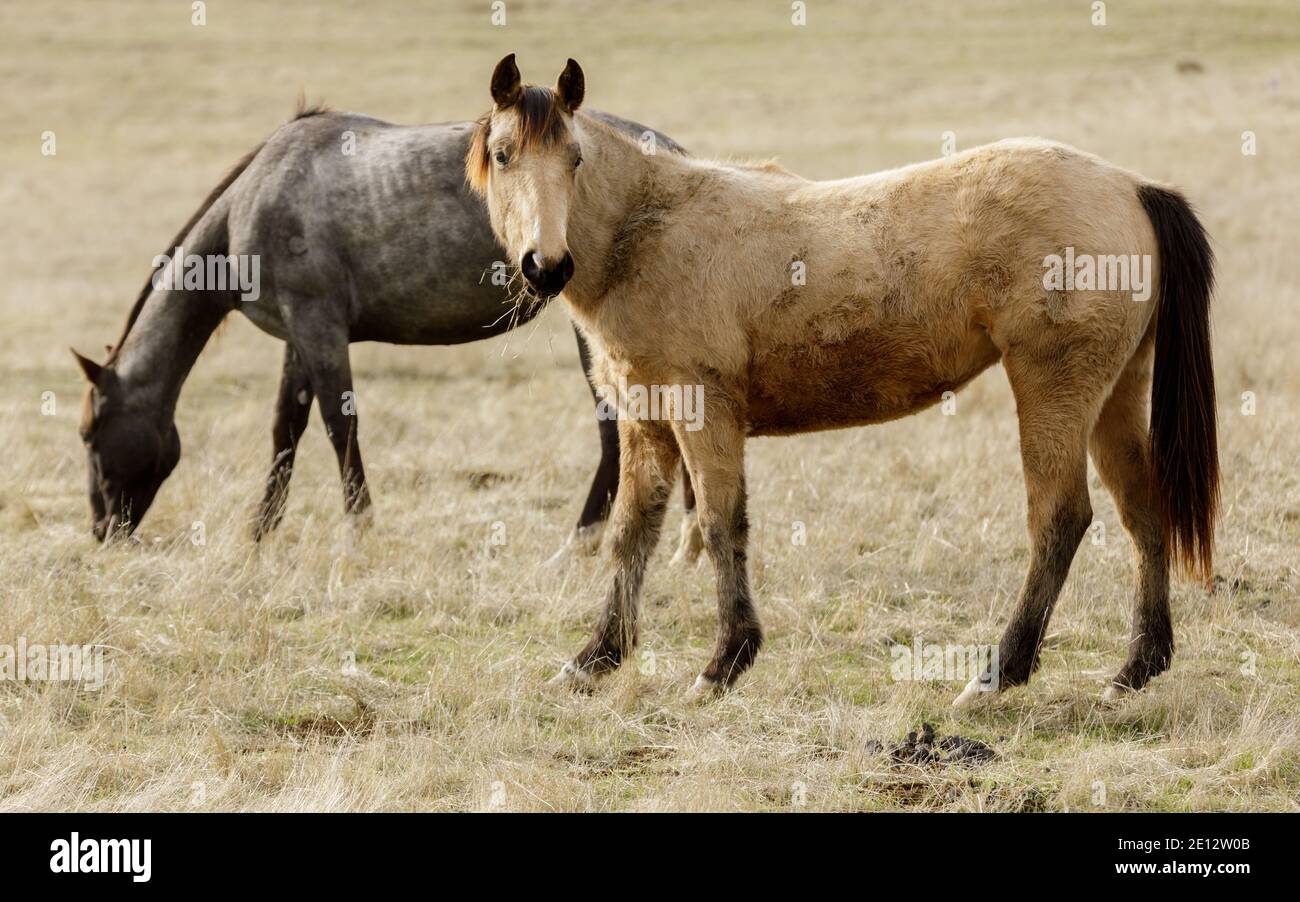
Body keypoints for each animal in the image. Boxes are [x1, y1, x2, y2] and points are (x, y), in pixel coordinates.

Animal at [71, 103, 704, 560]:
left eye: (89, 434)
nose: (102, 529)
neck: (251, 203)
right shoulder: (301, 337)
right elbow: (286, 429)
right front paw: (261, 531)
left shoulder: (319, 329)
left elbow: (338, 425)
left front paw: (359, 529)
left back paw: (585, 540)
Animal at [467, 55, 1218, 704]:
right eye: (503, 155)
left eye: (575, 158)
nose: (546, 265)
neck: (649, 230)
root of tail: (1131, 187)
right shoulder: (644, 419)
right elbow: (630, 533)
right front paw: (595, 658)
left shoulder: (704, 410)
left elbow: (718, 522)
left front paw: (724, 663)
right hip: (1114, 395)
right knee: (1142, 512)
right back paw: (1135, 669)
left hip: (1051, 390)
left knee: (1060, 519)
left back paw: (996, 674)